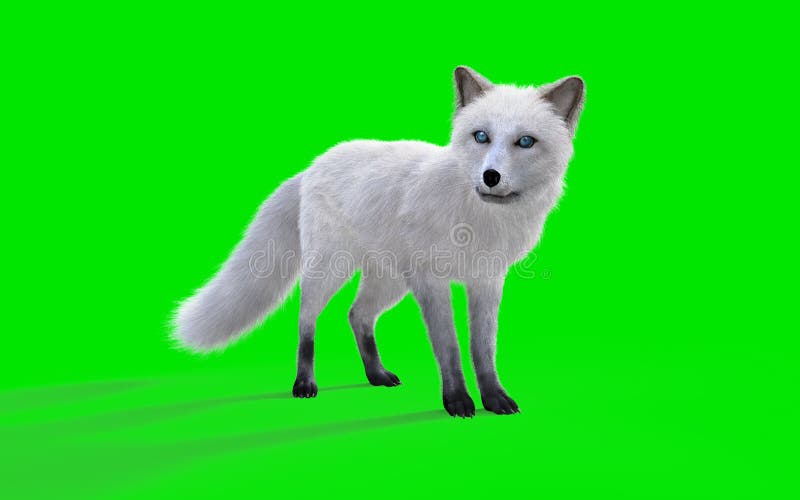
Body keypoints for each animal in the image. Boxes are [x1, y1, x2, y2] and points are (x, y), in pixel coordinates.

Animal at [174, 67, 585, 417]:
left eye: (526, 142)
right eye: (481, 136)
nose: (491, 176)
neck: (477, 220)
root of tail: (312, 165)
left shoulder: (486, 281)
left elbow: (483, 349)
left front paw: (494, 398)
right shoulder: (431, 281)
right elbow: (449, 346)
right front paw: (457, 401)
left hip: (389, 282)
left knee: (357, 315)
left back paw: (376, 375)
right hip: (332, 270)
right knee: (306, 319)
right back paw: (305, 383)